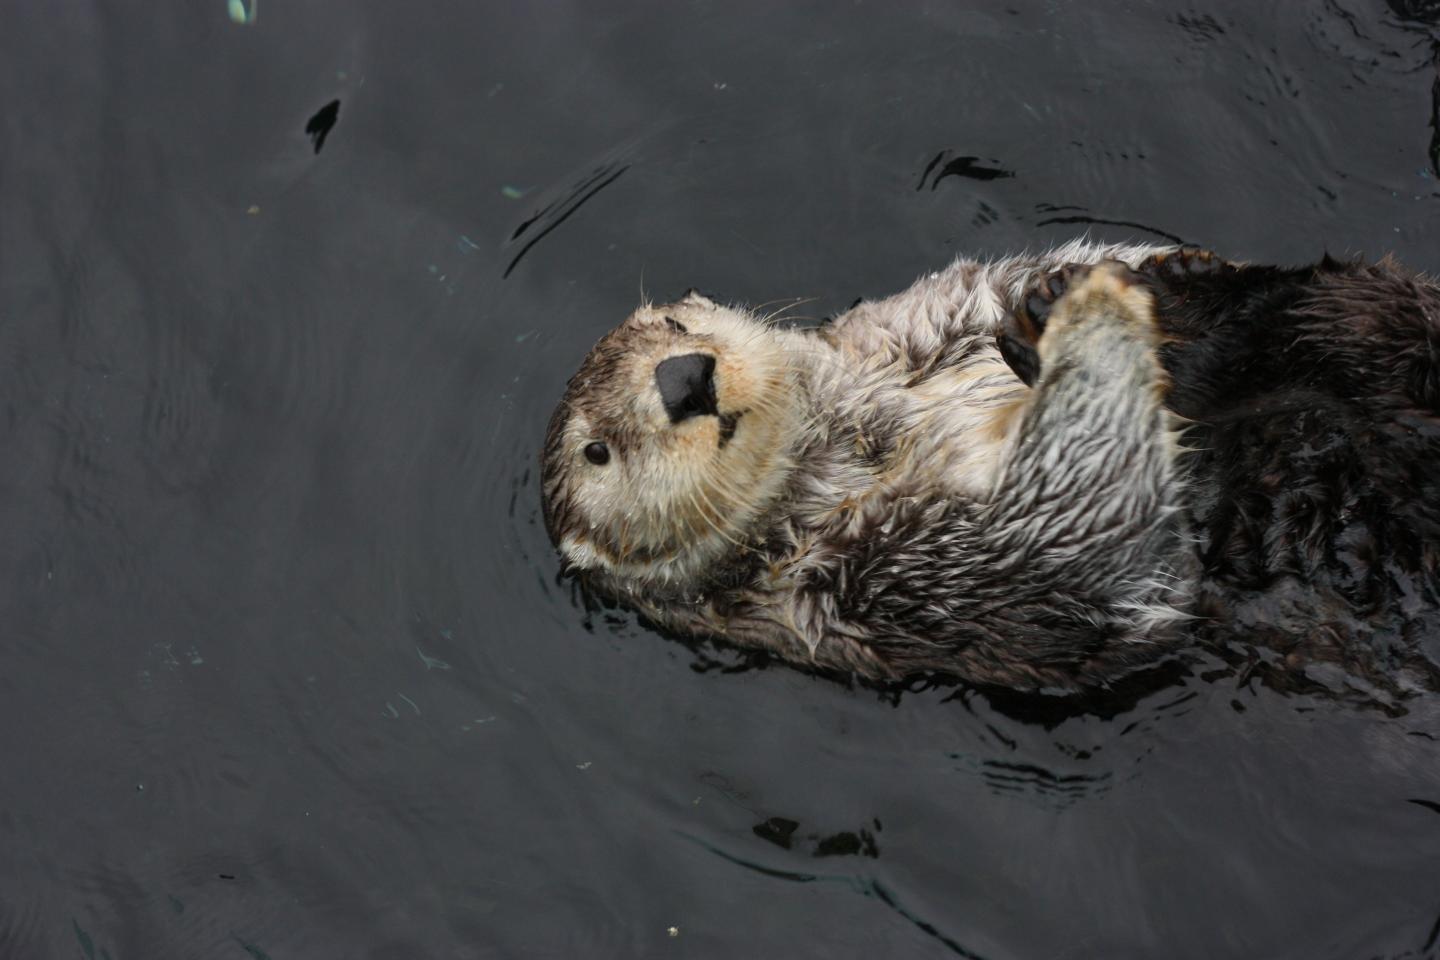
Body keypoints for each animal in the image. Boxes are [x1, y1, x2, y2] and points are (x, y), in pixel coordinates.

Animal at [541, 240, 1440, 694]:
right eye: (597, 449)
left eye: (673, 322)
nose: (683, 379)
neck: (847, 444)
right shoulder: (875, 582)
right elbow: (1071, 514)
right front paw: (1096, 341)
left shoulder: (900, 333)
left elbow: (979, 290)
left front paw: (1070, 294)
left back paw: (1186, 309)